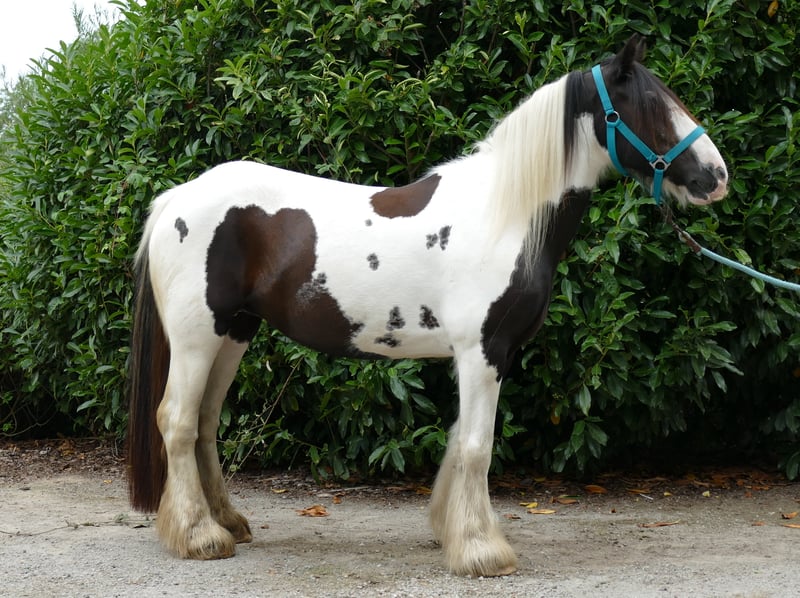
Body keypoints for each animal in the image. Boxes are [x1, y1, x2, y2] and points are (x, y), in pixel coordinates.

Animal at [126, 35, 728, 577]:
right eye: (651, 109)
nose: (716, 176)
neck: (503, 215)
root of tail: (177, 197)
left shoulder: (488, 356)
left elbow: (460, 442)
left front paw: (454, 531)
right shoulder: (482, 351)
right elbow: (478, 448)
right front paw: (483, 551)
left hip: (234, 332)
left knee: (205, 423)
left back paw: (227, 522)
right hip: (197, 337)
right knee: (177, 420)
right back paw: (200, 536)